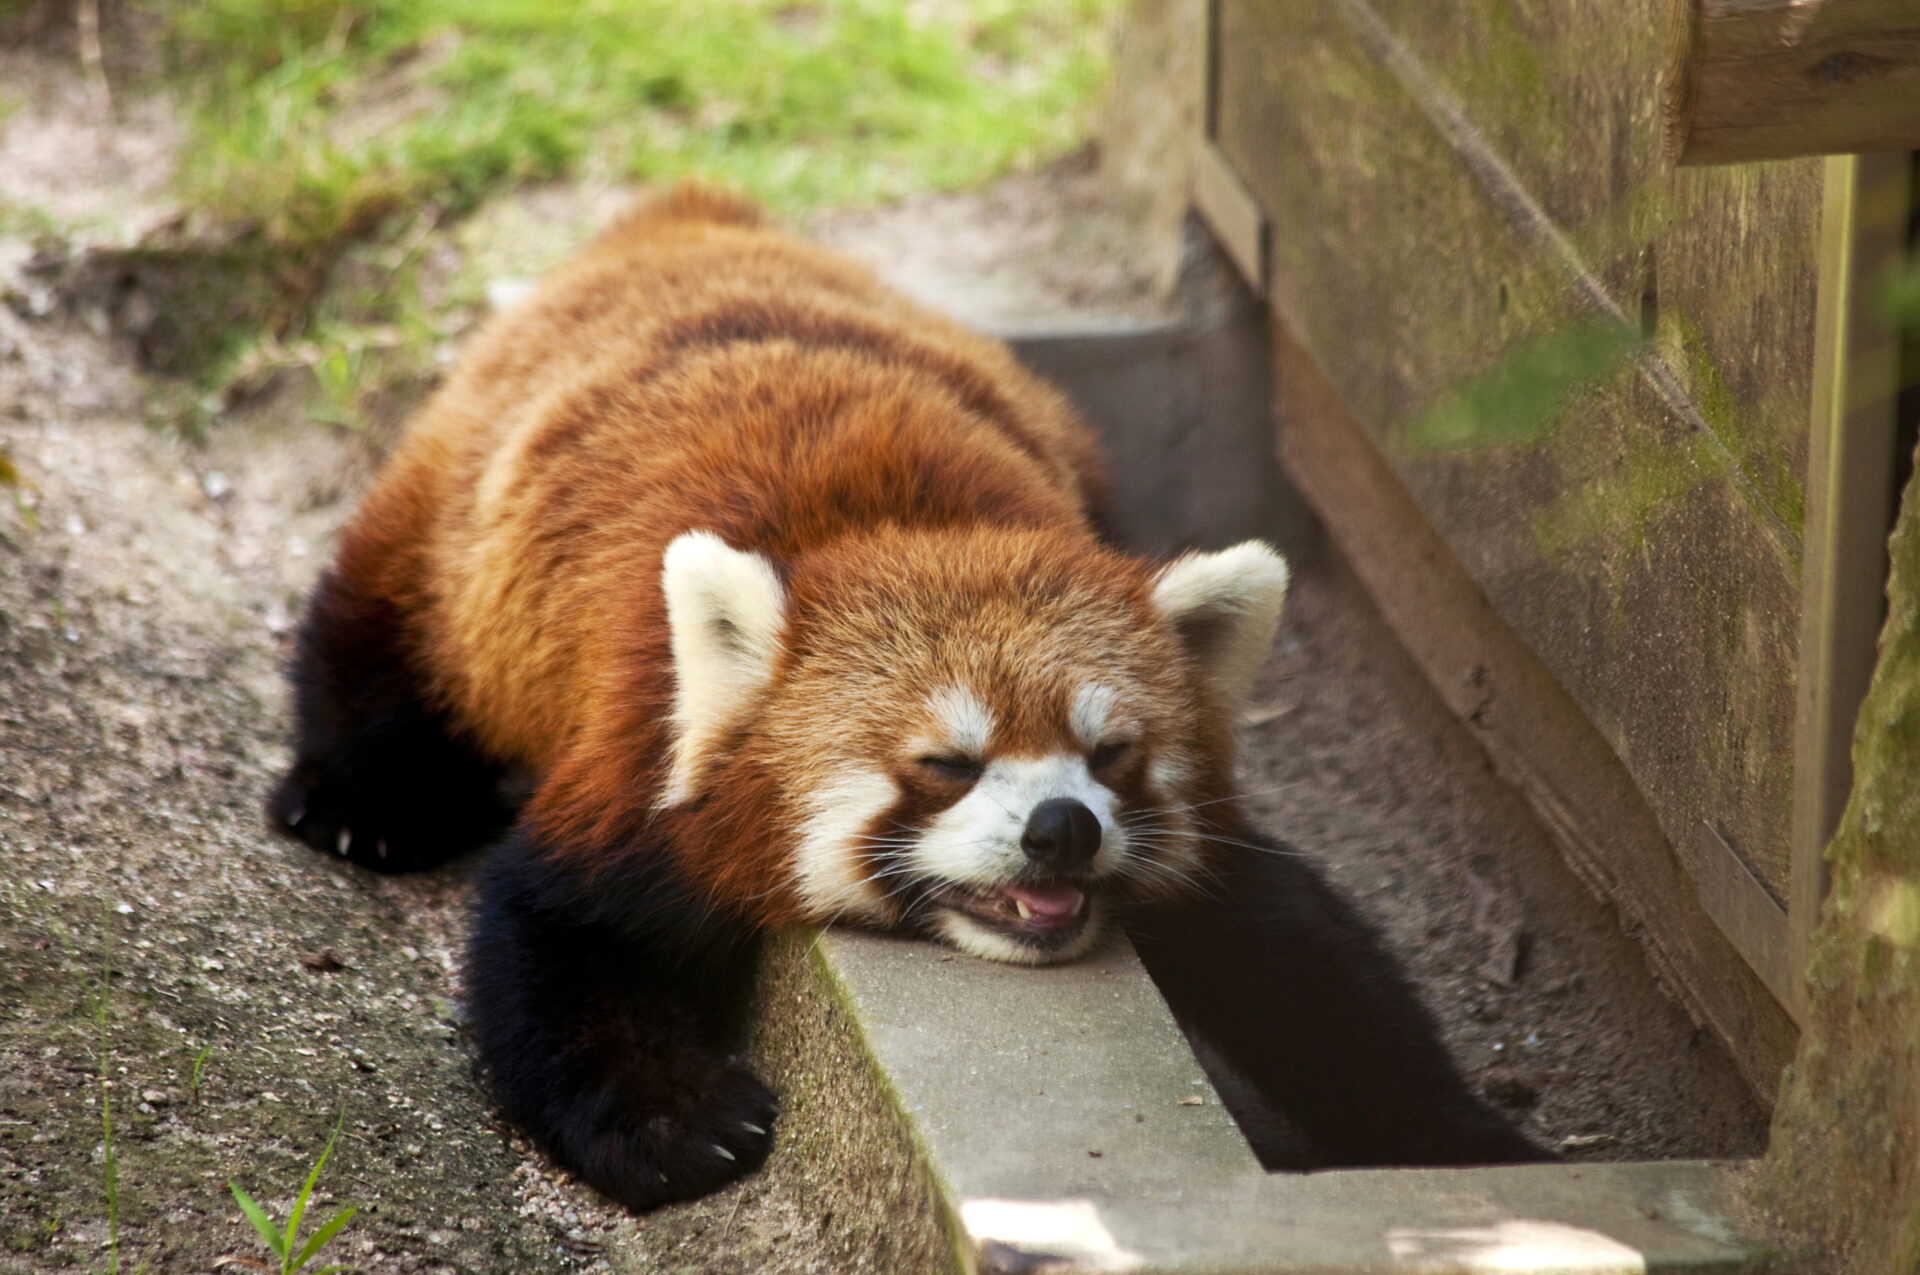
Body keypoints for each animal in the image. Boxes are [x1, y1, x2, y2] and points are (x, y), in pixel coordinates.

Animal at [266, 181, 1543, 1213]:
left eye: (1110, 756)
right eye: (946, 764)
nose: (1062, 829)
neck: (908, 529)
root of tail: (679, 221)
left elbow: (1302, 958)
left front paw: (1464, 1139)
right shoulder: (644, 756)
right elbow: (557, 943)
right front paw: (681, 1121)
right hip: (457, 513)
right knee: (381, 620)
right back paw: (360, 793)